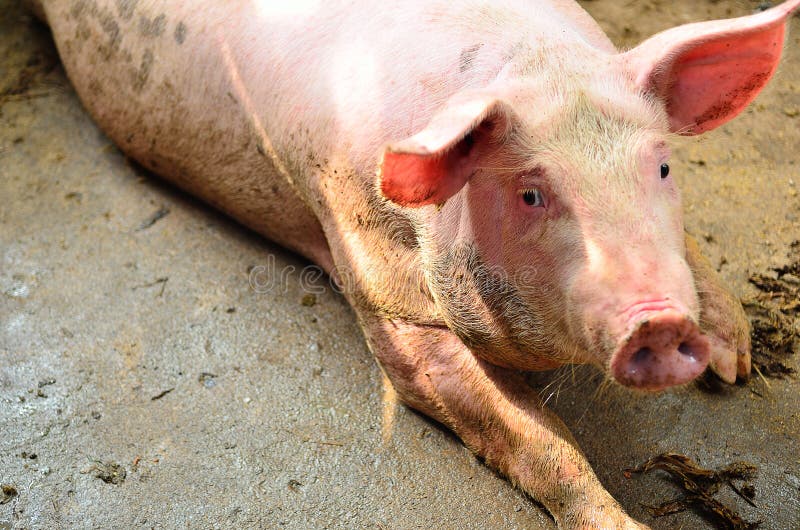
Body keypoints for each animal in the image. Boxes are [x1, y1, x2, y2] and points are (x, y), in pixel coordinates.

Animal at [28, 0, 800, 527]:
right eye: (530, 192)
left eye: (663, 166)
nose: (659, 321)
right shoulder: (381, 281)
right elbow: (538, 443)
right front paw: (623, 523)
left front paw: (735, 368)